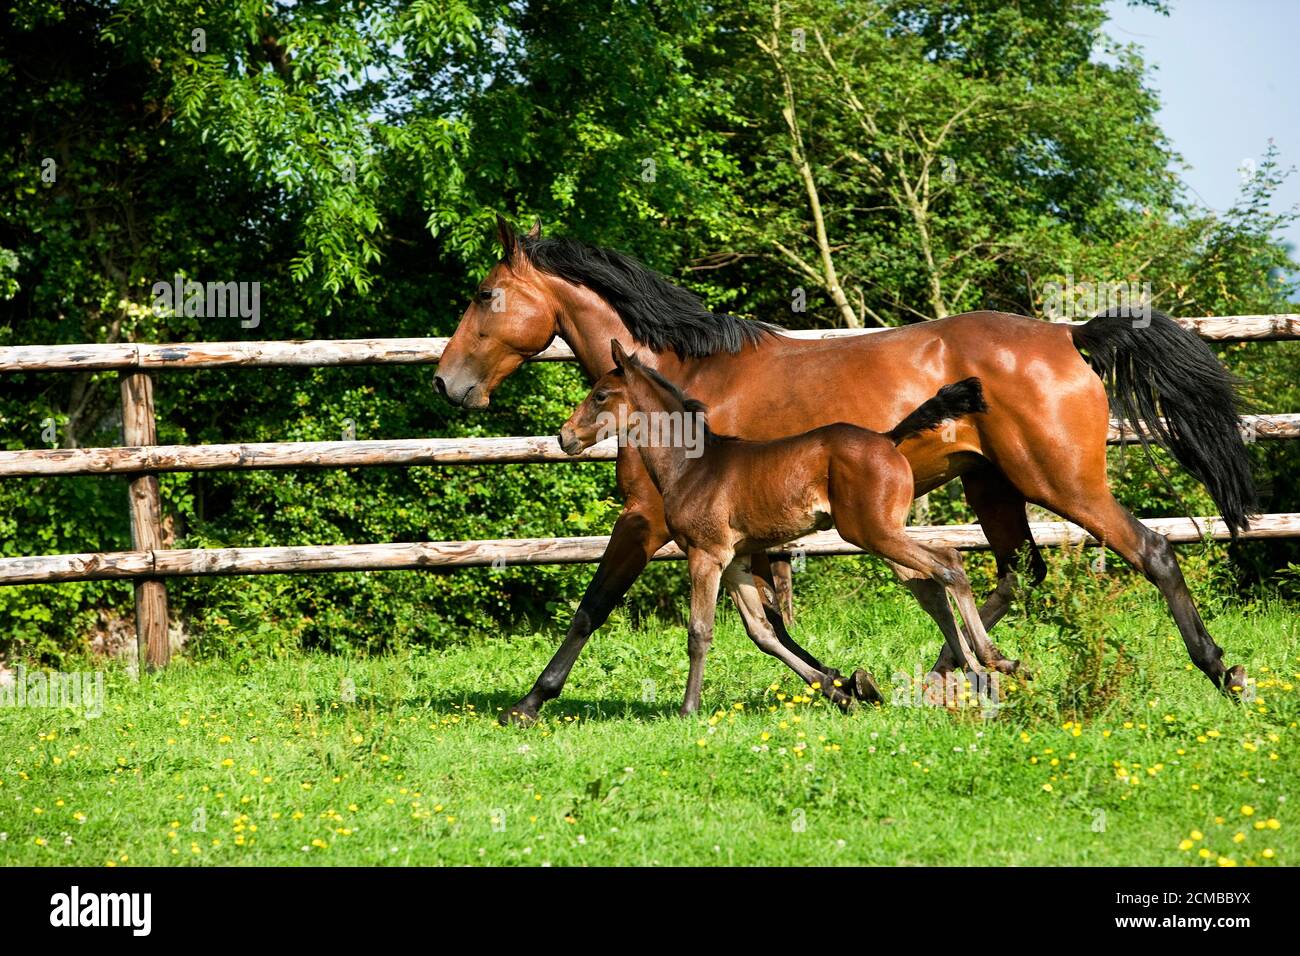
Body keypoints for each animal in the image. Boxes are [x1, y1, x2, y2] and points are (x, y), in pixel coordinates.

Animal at [560, 340, 1009, 714]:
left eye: (600, 395)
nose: (565, 436)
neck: (692, 466)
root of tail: (888, 438)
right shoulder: (736, 560)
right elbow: (762, 632)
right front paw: (837, 691)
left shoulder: (706, 555)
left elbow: (699, 632)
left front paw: (688, 710)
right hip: (882, 532)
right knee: (933, 579)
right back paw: (982, 669)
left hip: (872, 532)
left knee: (948, 563)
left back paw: (987, 663)